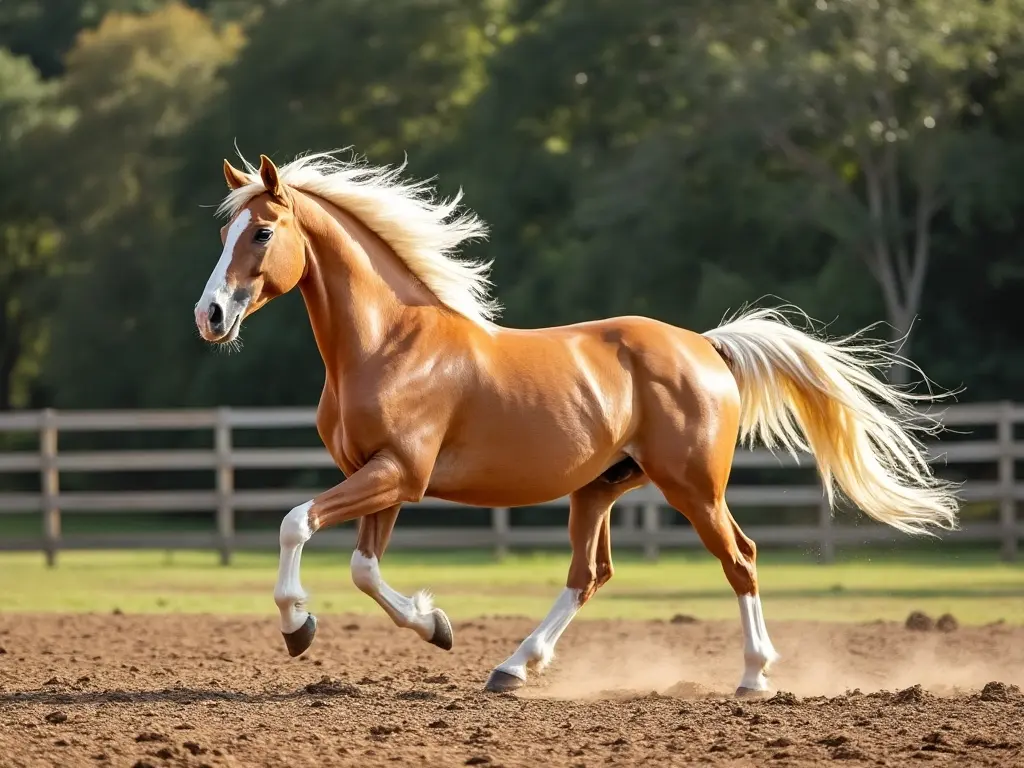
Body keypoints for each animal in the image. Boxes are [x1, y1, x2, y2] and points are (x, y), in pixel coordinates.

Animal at [193, 150, 959, 696]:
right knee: (591, 574)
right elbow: (363, 569)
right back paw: (513, 668)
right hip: (600, 487)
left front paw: (298, 627)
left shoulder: (397, 474)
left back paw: (753, 676)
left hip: (692, 487)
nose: (211, 316)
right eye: (223, 231)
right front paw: (436, 626)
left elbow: (297, 524)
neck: (391, 342)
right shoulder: (380, 476)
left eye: (262, 232)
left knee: (739, 559)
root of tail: (705, 346)